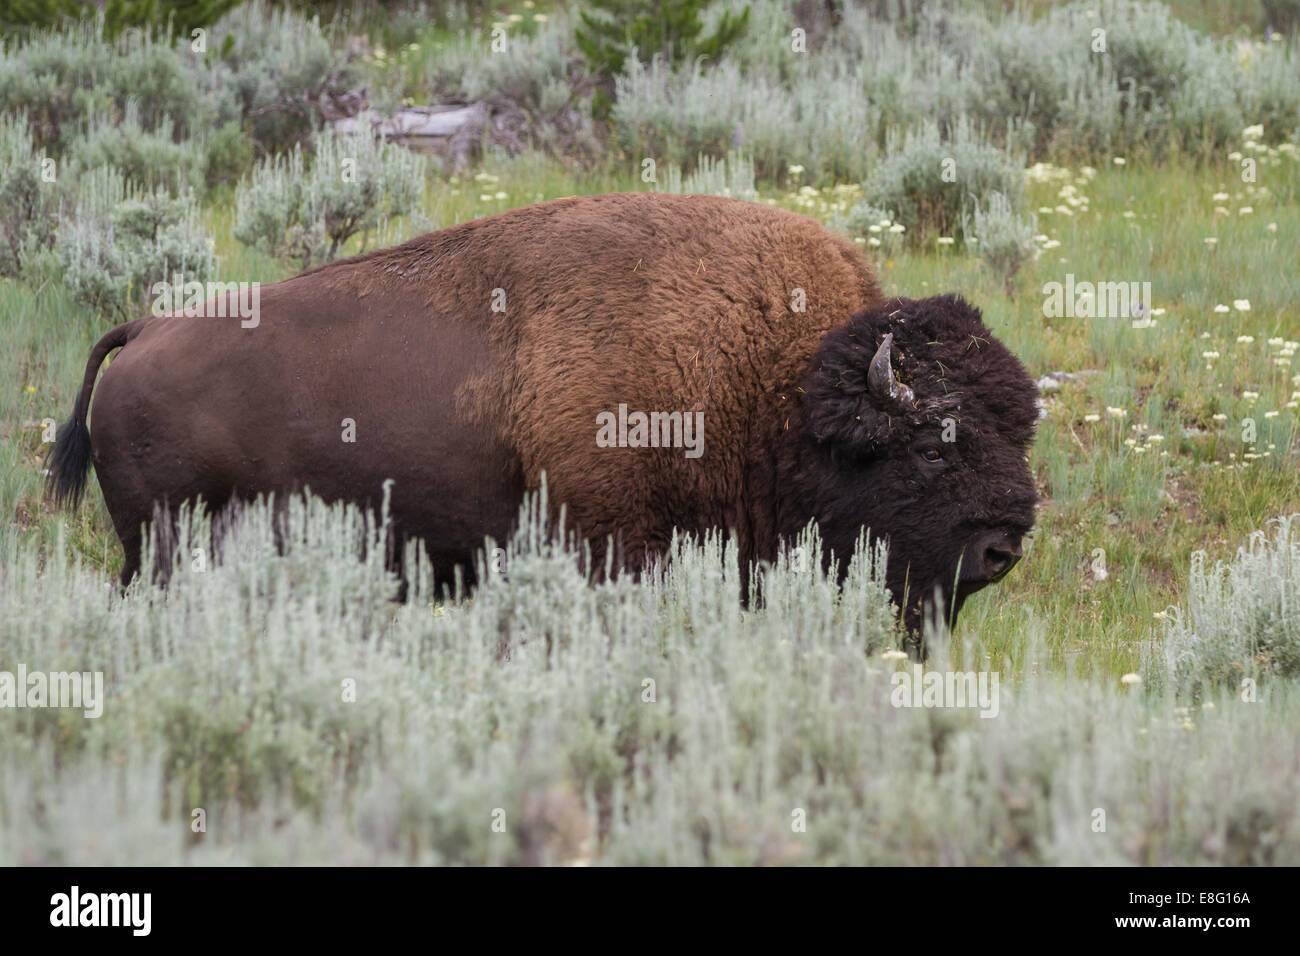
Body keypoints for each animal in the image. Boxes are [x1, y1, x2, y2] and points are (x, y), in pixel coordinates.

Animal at [47, 192, 1038, 644]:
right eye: (933, 448)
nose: (1003, 548)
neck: (779, 390)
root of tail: (143, 330)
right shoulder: (612, 545)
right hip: (162, 548)